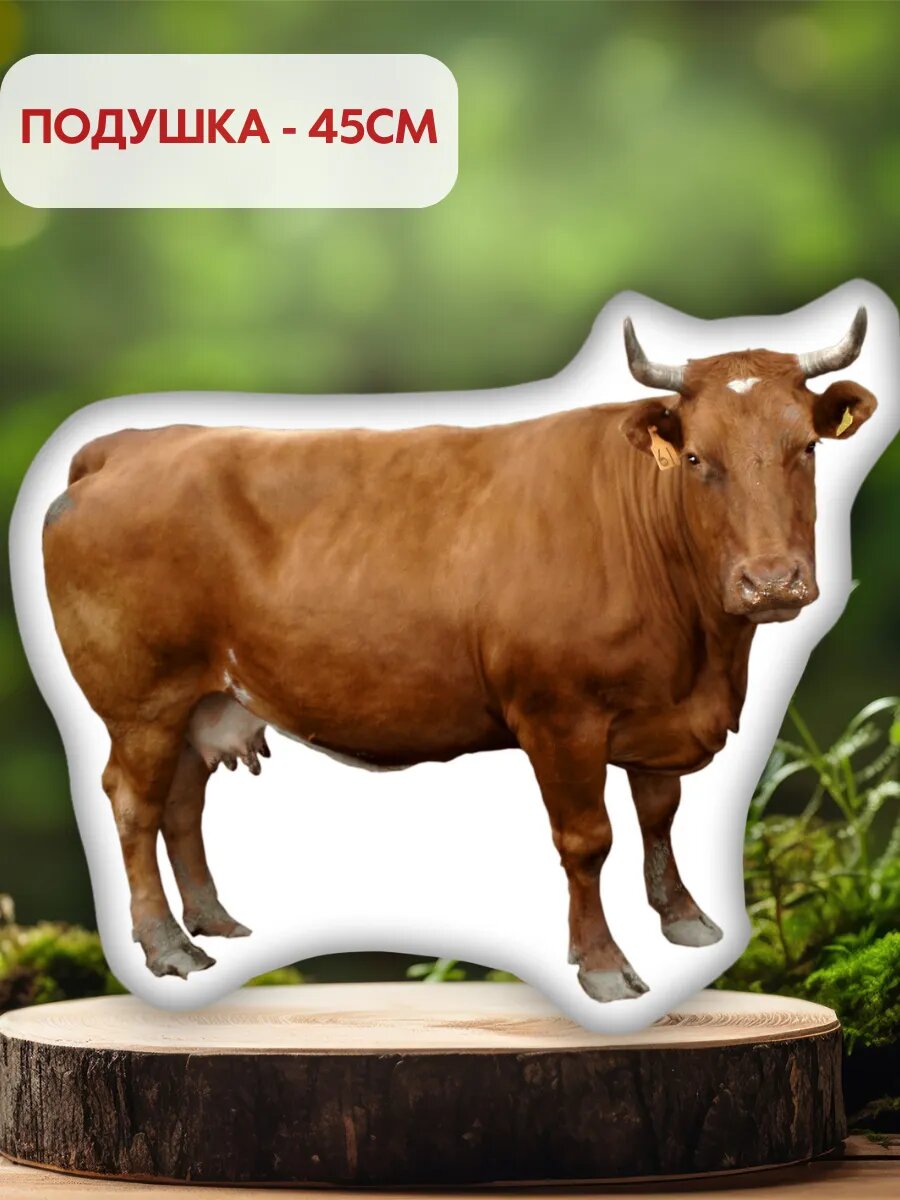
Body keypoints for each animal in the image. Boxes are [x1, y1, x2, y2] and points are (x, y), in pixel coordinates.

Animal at [42, 310, 875, 1001]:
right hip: (141, 699)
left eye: (805, 447)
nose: (771, 580)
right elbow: (588, 840)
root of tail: (124, 443)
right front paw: (602, 966)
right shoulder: (559, 715)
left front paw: (685, 919)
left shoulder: (655, 713)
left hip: (200, 697)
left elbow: (660, 815)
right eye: (698, 457)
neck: (702, 656)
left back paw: (212, 919)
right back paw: (166, 946)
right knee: (134, 803)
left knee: (183, 800)